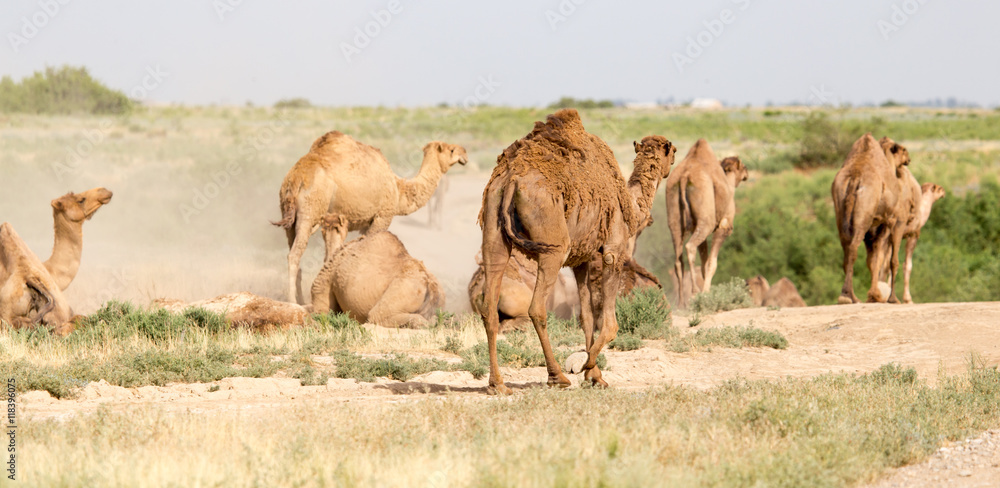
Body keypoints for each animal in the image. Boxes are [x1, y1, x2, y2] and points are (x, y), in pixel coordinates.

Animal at [273, 131, 468, 304]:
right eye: (451, 150)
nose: (464, 153)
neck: (398, 190)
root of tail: (296, 177)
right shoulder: (382, 217)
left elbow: (332, 255)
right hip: (310, 211)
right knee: (294, 254)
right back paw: (293, 301)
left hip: (289, 215)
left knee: (293, 248)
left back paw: (301, 299)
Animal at [479, 109, 674, 394]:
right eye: (672, 151)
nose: (672, 164)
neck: (631, 205)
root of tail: (512, 180)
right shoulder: (612, 251)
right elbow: (609, 323)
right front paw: (586, 366)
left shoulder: (583, 259)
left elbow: (586, 317)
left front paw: (595, 376)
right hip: (554, 246)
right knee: (537, 308)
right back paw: (557, 376)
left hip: (493, 231)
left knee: (489, 305)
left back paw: (498, 384)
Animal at [665, 140, 749, 308]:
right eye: (742, 165)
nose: (747, 172)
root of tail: (685, 176)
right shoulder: (724, 226)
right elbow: (711, 263)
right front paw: (706, 294)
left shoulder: (695, 227)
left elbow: (704, 264)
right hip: (706, 218)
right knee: (690, 247)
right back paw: (694, 293)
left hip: (674, 215)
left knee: (678, 259)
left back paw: (681, 303)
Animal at [831, 134, 910, 304]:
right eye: (903, 149)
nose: (908, 159)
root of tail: (855, 176)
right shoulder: (892, 221)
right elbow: (889, 260)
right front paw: (890, 298)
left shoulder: (872, 231)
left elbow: (872, 260)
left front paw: (874, 296)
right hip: (864, 215)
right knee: (853, 248)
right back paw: (848, 297)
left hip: (840, 211)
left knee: (846, 249)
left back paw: (850, 296)